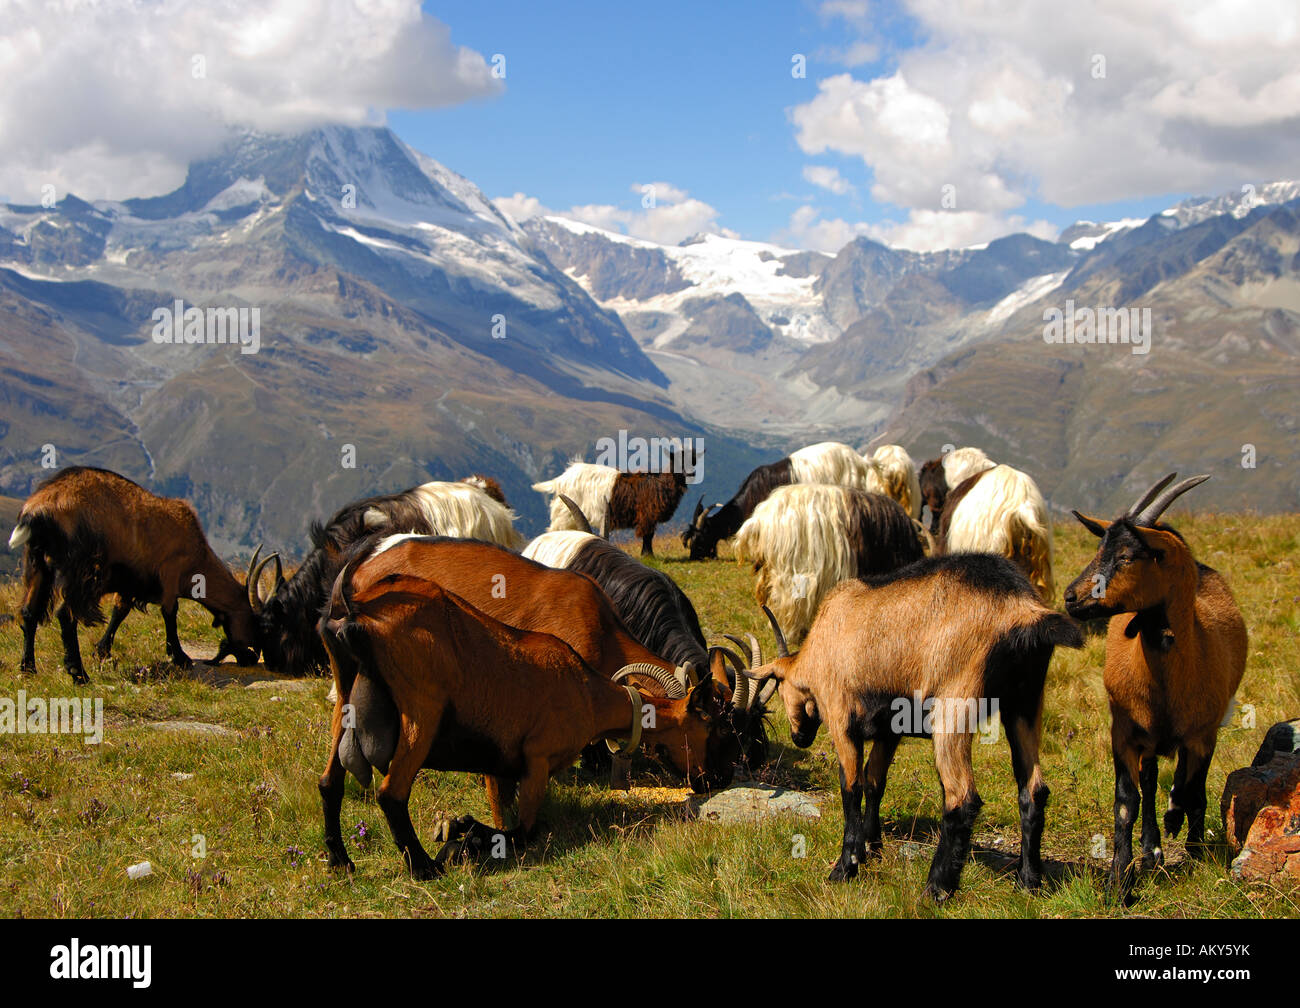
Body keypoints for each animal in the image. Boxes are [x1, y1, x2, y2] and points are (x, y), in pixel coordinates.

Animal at [8, 466, 259, 683]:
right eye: (252, 621)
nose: (252, 657)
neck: (197, 551)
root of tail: (38, 510)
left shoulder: (130, 584)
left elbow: (120, 611)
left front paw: (102, 651)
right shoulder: (170, 574)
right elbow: (170, 613)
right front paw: (180, 657)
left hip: (37, 564)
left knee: (29, 612)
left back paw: (28, 668)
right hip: (82, 571)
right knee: (66, 614)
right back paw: (79, 674)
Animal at [317, 567, 723, 877]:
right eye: (705, 726)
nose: (711, 780)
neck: (587, 691)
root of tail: (357, 612)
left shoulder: (502, 767)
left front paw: (459, 830)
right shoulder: (536, 762)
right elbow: (524, 830)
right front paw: (459, 837)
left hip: (345, 694)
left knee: (329, 783)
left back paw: (340, 861)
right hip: (421, 710)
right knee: (391, 792)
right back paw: (425, 868)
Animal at [532, 443, 698, 556]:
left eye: (693, 461)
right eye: (678, 461)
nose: (691, 473)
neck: (660, 482)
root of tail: (560, 480)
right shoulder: (647, 516)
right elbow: (648, 536)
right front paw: (648, 555)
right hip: (564, 515)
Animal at [737, 556, 1084, 901]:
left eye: (780, 691)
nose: (799, 737)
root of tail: (1023, 609)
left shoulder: (841, 718)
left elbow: (851, 786)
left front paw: (846, 867)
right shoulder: (889, 730)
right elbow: (874, 781)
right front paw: (872, 848)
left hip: (954, 707)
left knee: (962, 797)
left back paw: (937, 889)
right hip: (1025, 705)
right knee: (1033, 790)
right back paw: (1027, 882)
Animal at [1063, 474, 1247, 900]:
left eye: (1127, 556)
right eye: (1099, 548)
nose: (1071, 597)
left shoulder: (1204, 734)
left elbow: (1192, 789)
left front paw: (1187, 840)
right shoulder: (1124, 733)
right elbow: (1127, 802)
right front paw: (1119, 879)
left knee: (1188, 785)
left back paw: (1182, 834)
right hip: (1145, 738)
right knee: (1148, 781)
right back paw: (1152, 849)